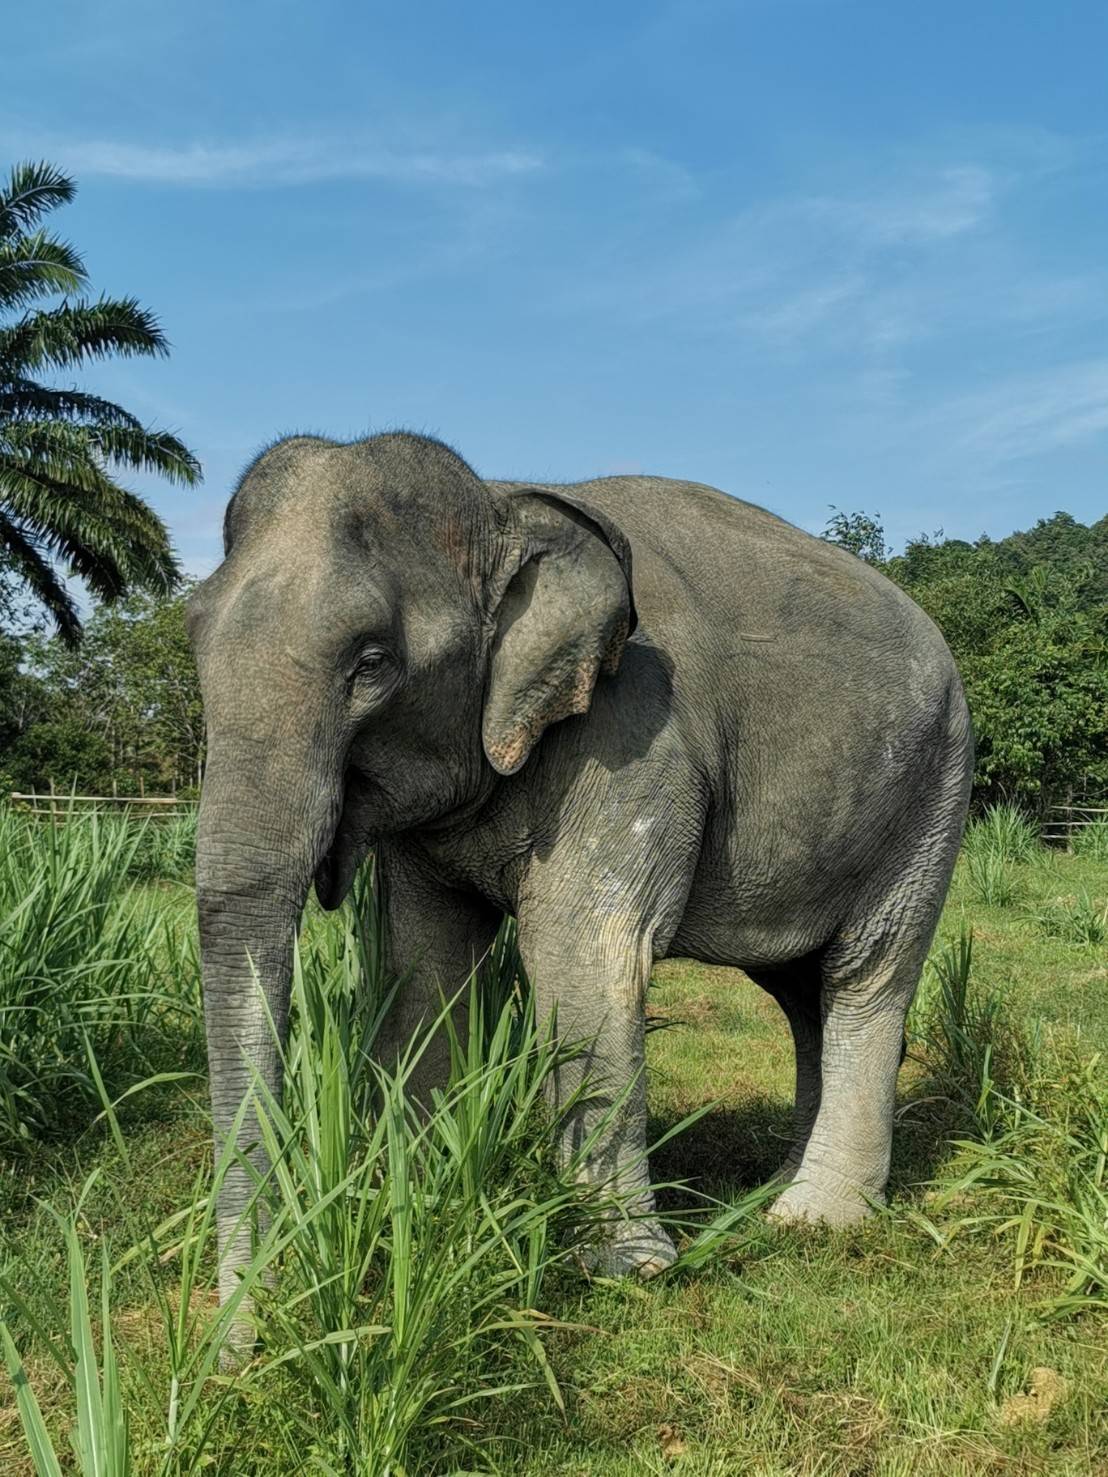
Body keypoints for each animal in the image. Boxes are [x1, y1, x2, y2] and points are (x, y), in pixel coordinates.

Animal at [187, 430, 973, 1324]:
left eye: (373, 661)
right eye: (191, 632)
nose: (238, 1341)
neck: (499, 500)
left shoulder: (634, 730)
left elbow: (580, 956)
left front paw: (626, 1269)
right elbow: (424, 965)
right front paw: (423, 1199)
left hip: (932, 792)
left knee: (867, 971)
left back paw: (818, 1217)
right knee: (802, 987)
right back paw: (778, 1187)